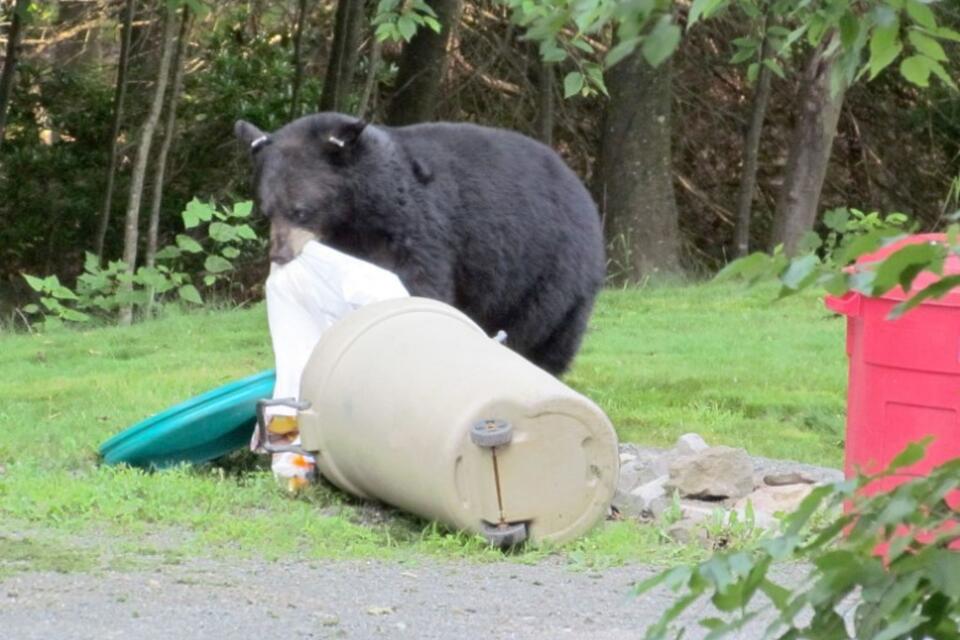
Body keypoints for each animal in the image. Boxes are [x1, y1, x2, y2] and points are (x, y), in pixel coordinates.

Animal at [234, 112, 605, 375]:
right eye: (266, 210)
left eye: (300, 210)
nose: (280, 253)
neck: (359, 211)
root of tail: (580, 187)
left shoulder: (416, 226)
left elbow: (419, 281)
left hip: (549, 271)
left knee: (544, 333)